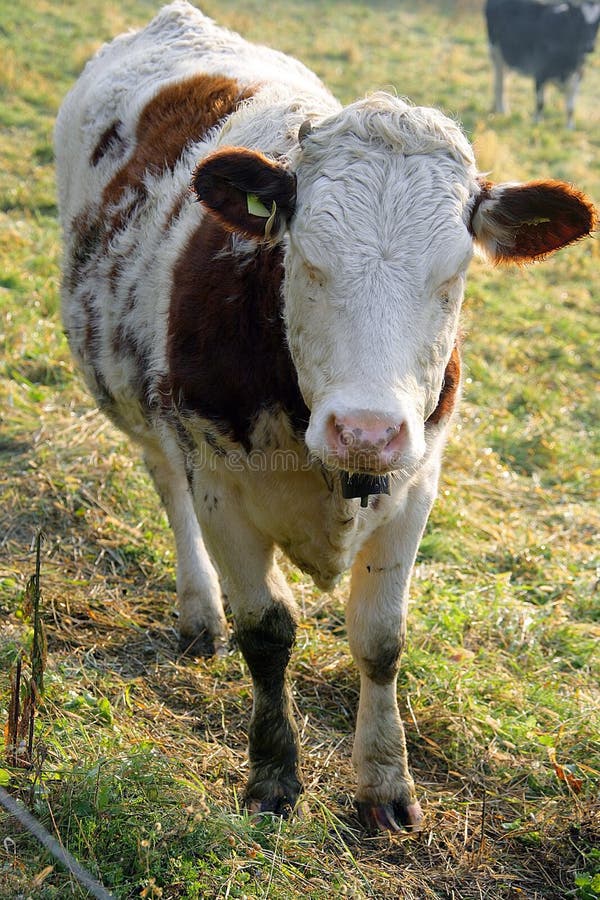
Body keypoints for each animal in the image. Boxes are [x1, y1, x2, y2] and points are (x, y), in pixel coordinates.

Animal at [54, 0, 596, 833]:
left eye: (455, 273)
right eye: (306, 256)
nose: (366, 430)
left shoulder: (417, 483)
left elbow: (380, 639)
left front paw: (385, 783)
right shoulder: (222, 489)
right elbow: (267, 631)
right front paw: (274, 771)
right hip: (150, 414)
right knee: (168, 489)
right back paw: (198, 610)